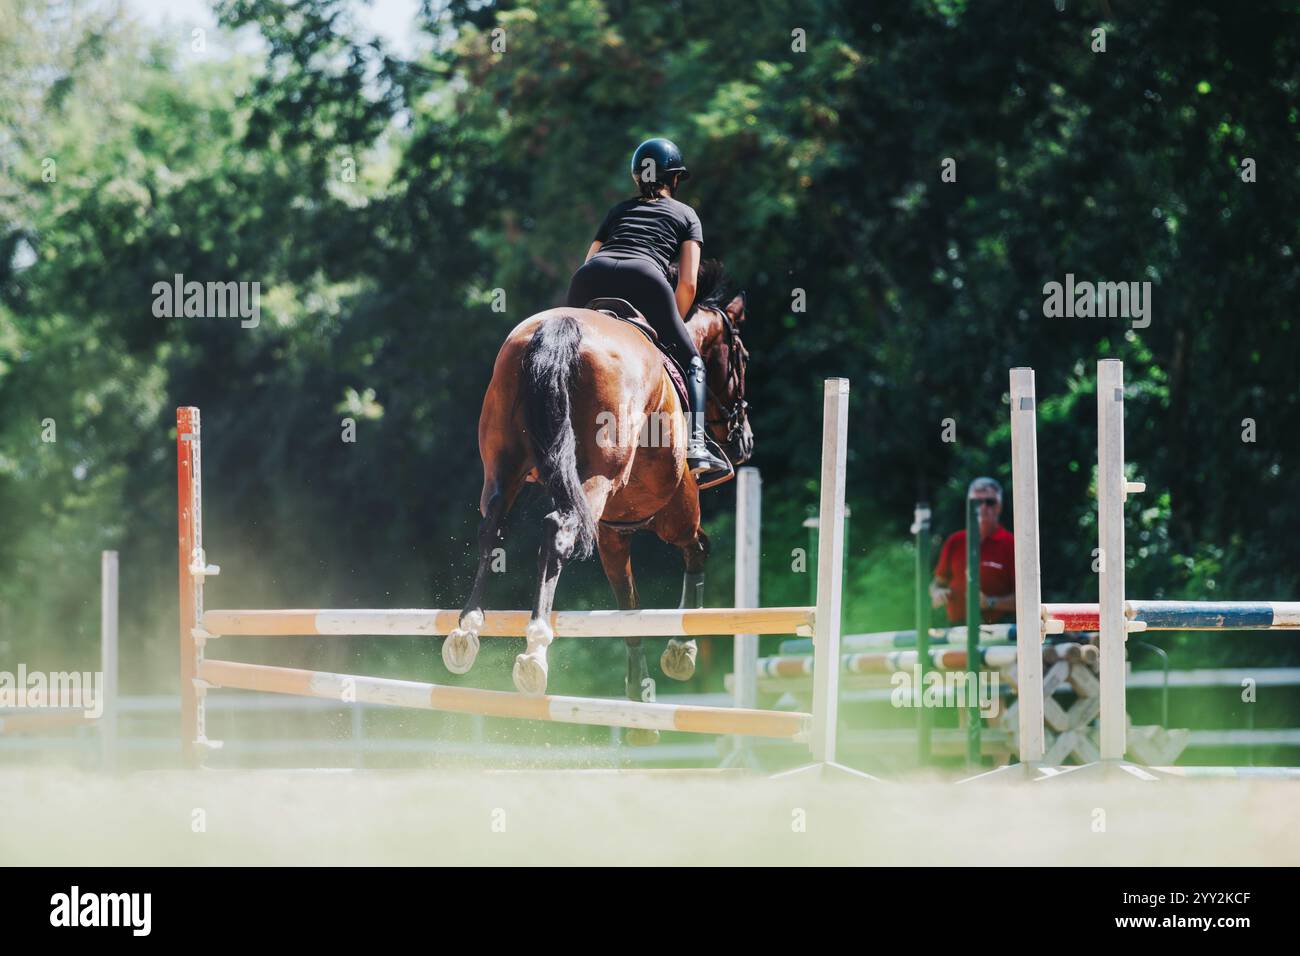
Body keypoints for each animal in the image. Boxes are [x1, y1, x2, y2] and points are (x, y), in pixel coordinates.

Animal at [443, 262, 752, 741]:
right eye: (743, 358)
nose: (745, 441)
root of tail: (559, 328)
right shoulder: (677, 509)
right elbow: (698, 551)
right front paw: (681, 651)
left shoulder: (612, 533)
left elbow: (629, 606)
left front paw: (640, 694)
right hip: (603, 478)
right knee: (557, 531)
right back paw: (535, 649)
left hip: (503, 463)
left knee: (491, 529)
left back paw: (466, 632)